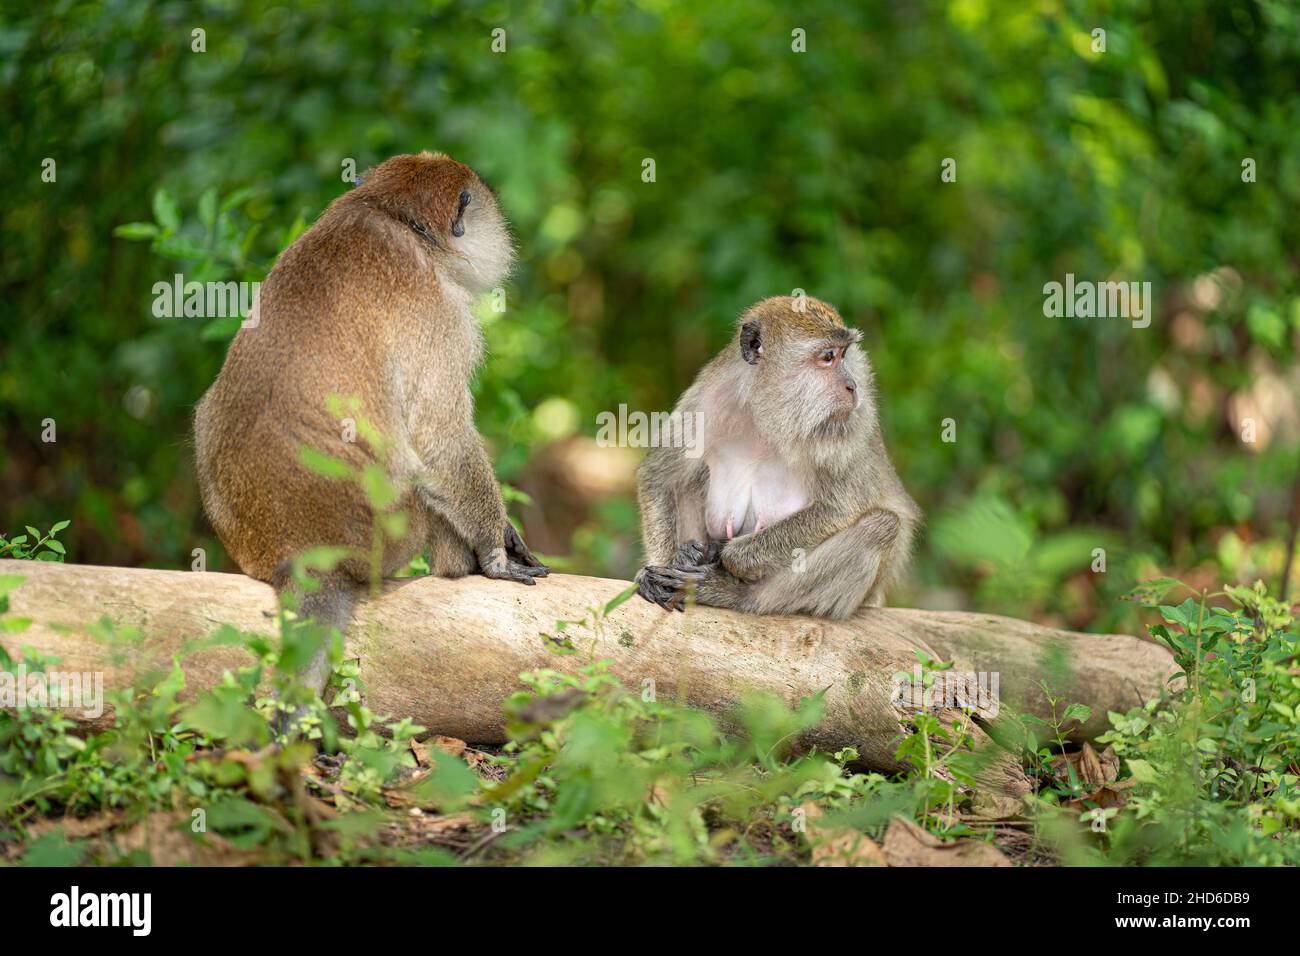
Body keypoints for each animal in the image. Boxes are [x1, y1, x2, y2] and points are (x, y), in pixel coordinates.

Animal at [193, 151, 547, 710]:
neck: (389, 213)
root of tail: (299, 550)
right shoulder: (442, 313)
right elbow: (438, 440)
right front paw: (495, 550)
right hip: (387, 533)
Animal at [634, 295, 919, 619]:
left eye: (844, 355)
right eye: (828, 357)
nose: (853, 386)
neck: (766, 412)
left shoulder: (852, 426)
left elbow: (841, 507)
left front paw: (726, 555)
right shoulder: (706, 398)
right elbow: (658, 476)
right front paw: (664, 565)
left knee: (881, 526)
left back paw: (737, 594)